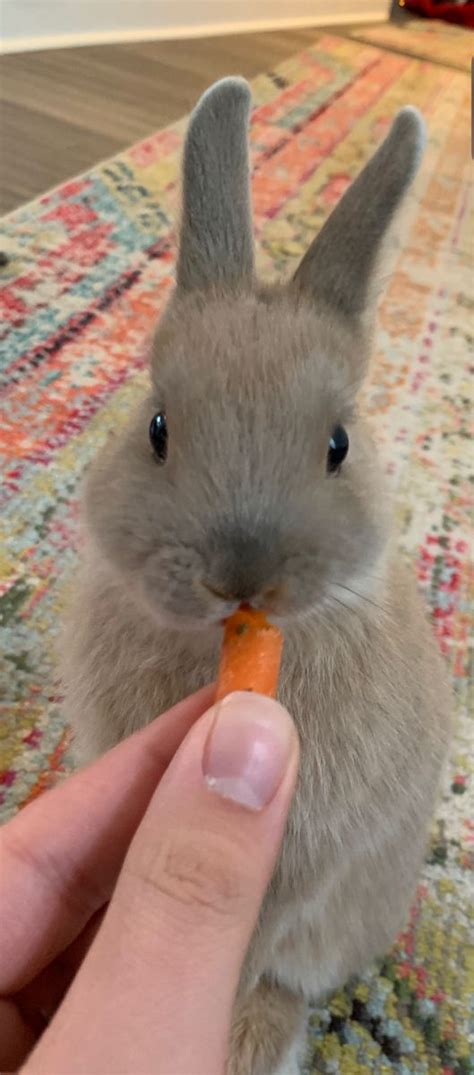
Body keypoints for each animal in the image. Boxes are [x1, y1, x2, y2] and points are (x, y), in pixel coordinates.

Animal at [60, 79, 452, 1075]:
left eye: (339, 445)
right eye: (157, 426)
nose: (242, 574)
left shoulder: (297, 864)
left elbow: (255, 943)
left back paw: (252, 1039)